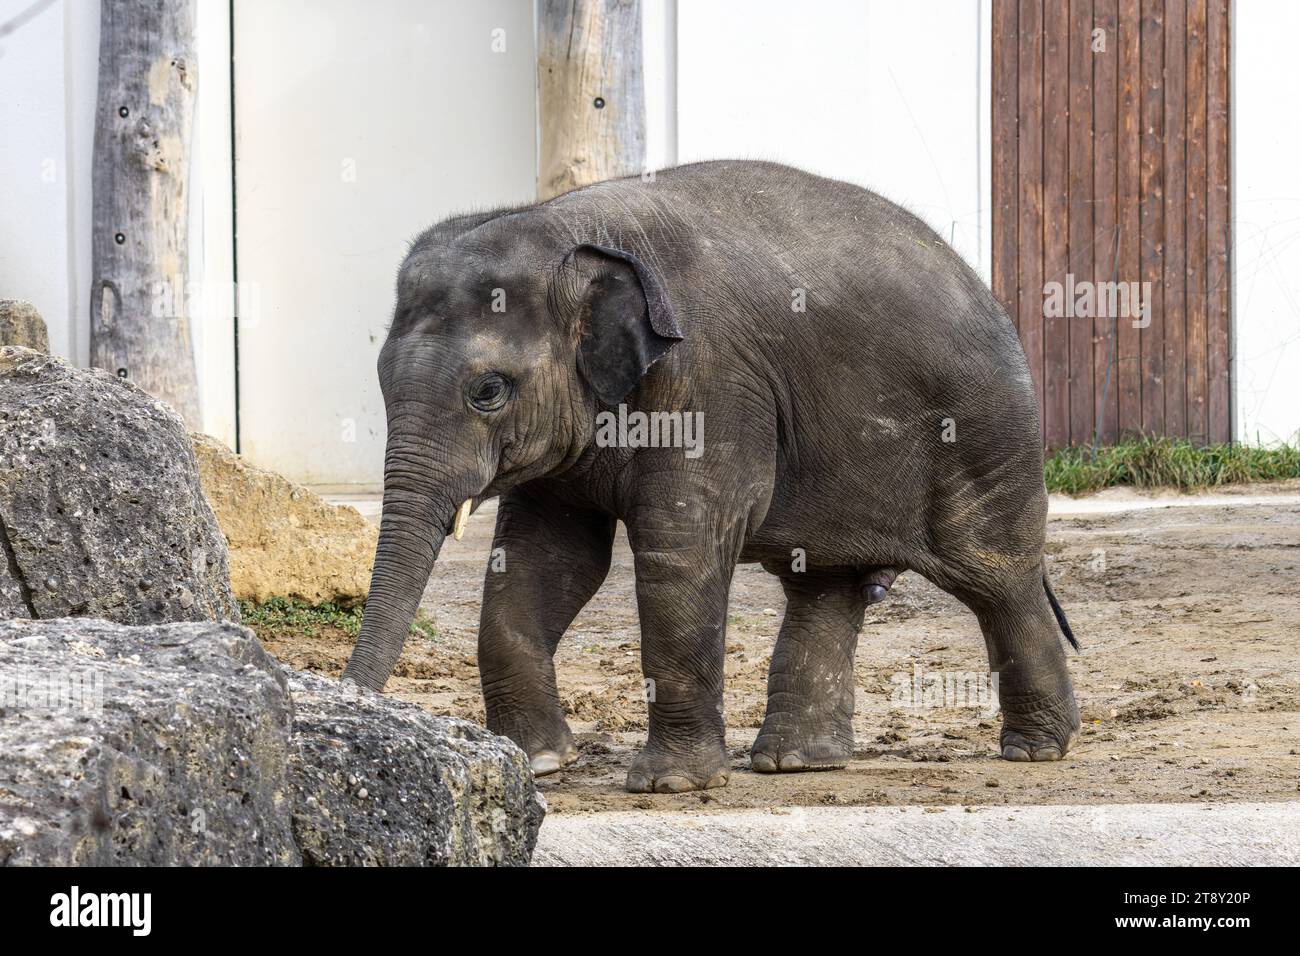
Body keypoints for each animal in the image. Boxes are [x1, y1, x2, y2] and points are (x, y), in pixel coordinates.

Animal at [342, 160, 1081, 794]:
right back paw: (796, 763)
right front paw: (539, 761)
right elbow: (546, 559)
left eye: (488, 391)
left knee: (996, 576)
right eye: (379, 378)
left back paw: (1036, 749)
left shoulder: (707, 381)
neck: (564, 229)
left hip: (987, 436)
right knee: (825, 584)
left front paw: (669, 784)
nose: (357, 716)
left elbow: (681, 549)